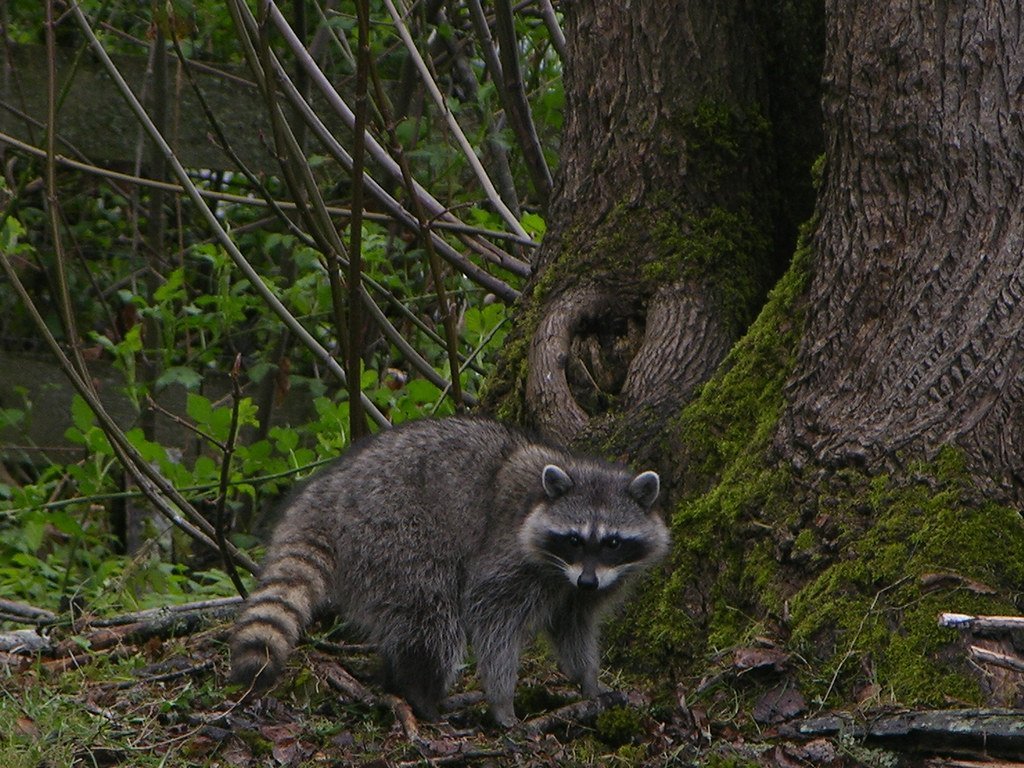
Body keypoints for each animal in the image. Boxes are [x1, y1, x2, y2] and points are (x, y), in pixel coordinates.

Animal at [229, 416, 669, 726]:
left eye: (612, 542)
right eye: (575, 539)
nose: (588, 580)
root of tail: (326, 493)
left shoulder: (584, 585)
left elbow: (573, 626)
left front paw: (589, 681)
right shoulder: (508, 553)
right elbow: (490, 616)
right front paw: (502, 699)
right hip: (394, 530)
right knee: (432, 614)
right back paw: (423, 695)